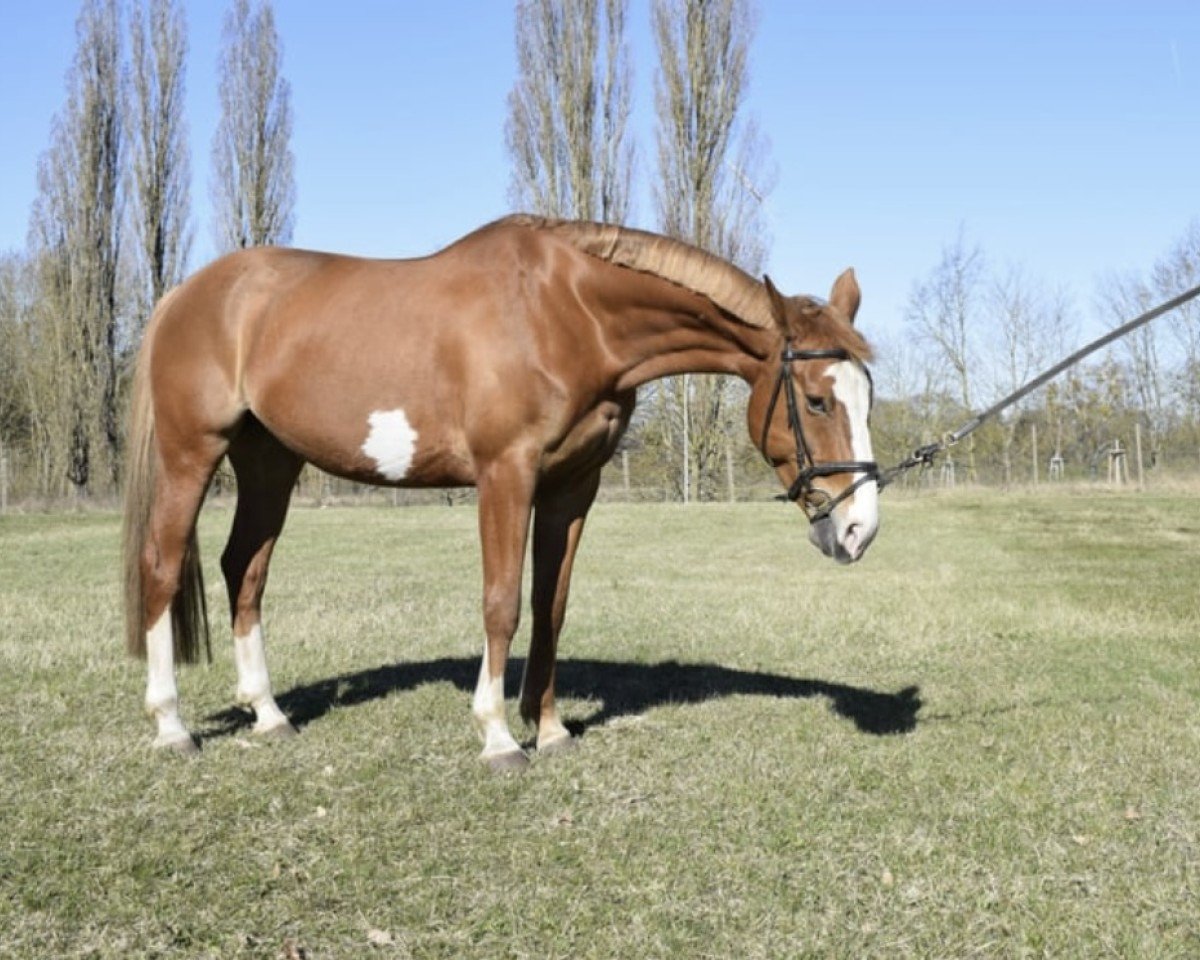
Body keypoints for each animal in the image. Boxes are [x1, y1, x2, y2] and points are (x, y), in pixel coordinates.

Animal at [122, 215, 880, 771]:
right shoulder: (505, 475)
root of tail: (183, 295)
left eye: (868, 395)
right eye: (816, 400)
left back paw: (269, 715)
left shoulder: (574, 485)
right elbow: (503, 603)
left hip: (269, 462)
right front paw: (497, 737)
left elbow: (551, 606)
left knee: (244, 570)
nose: (858, 530)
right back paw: (171, 726)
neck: (568, 313)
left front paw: (548, 728)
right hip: (192, 453)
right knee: (162, 568)